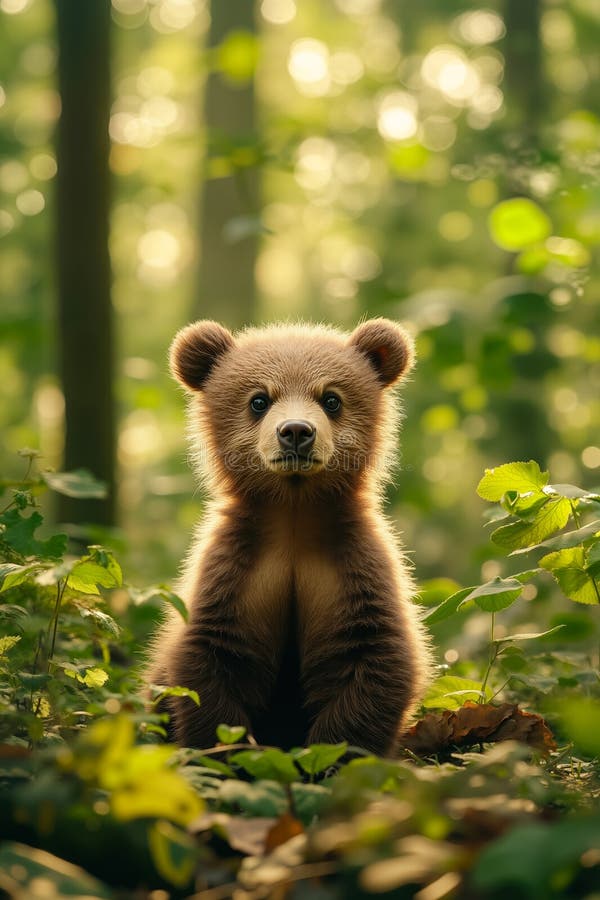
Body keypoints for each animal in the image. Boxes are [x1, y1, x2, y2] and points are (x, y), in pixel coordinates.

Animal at [147, 318, 431, 756]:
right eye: (259, 400)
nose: (296, 431)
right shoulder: (238, 571)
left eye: (331, 399)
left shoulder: (351, 567)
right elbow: (209, 664)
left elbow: (375, 657)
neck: (293, 515)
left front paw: (328, 757)